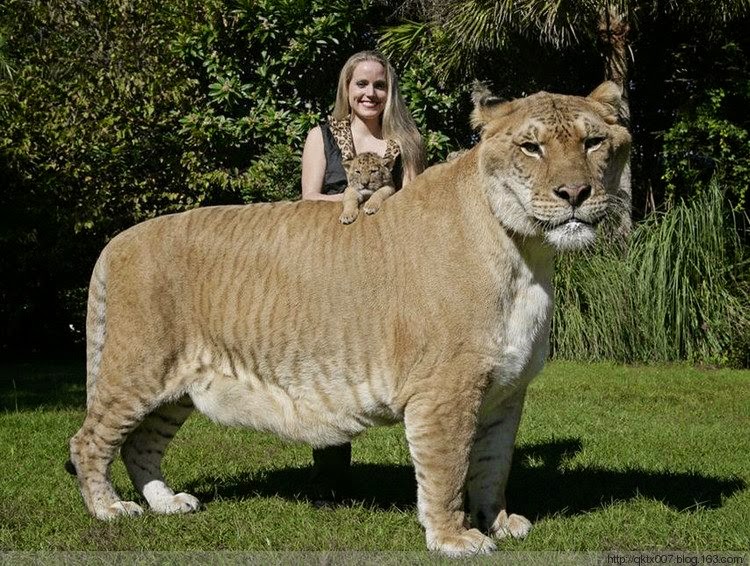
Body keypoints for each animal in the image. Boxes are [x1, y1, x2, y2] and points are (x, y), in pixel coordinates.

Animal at [67, 81, 631, 556]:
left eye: (594, 142)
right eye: (531, 148)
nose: (575, 194)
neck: (527, 254)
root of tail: (117, 240)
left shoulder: (506, 391)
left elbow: (493, 466)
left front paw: (499, 523)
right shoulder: (443, 391)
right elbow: (448, 468)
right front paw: (455, 539)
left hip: (177, 387)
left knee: (141, 444)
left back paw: (166, 503)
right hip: (137, 369)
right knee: (89, 440)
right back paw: (110, 509)